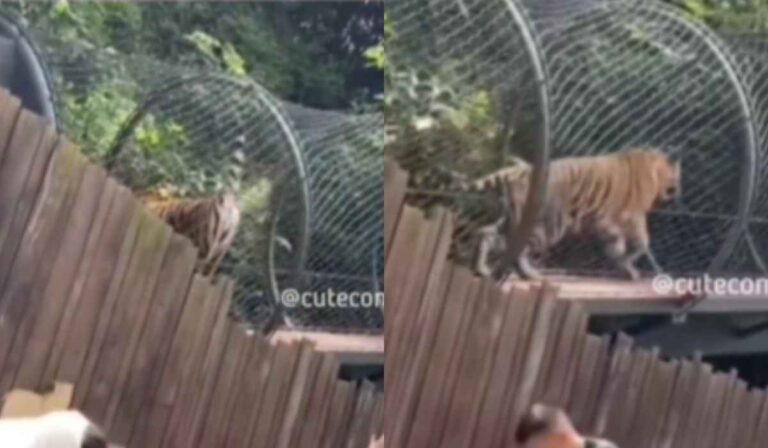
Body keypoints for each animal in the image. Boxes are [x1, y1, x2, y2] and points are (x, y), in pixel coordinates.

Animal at [465, 148, 681, 281]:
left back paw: (480, 268)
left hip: (513, 220)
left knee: (486, 233)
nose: (676, 195)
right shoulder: (632, 216)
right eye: (675, 183)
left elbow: (616, 245)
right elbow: (642, 241)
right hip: (546, 225)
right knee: (517, 249)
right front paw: (631, 262)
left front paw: (625, 265)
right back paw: (530, 275)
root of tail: (523, 169)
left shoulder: (606, 222)